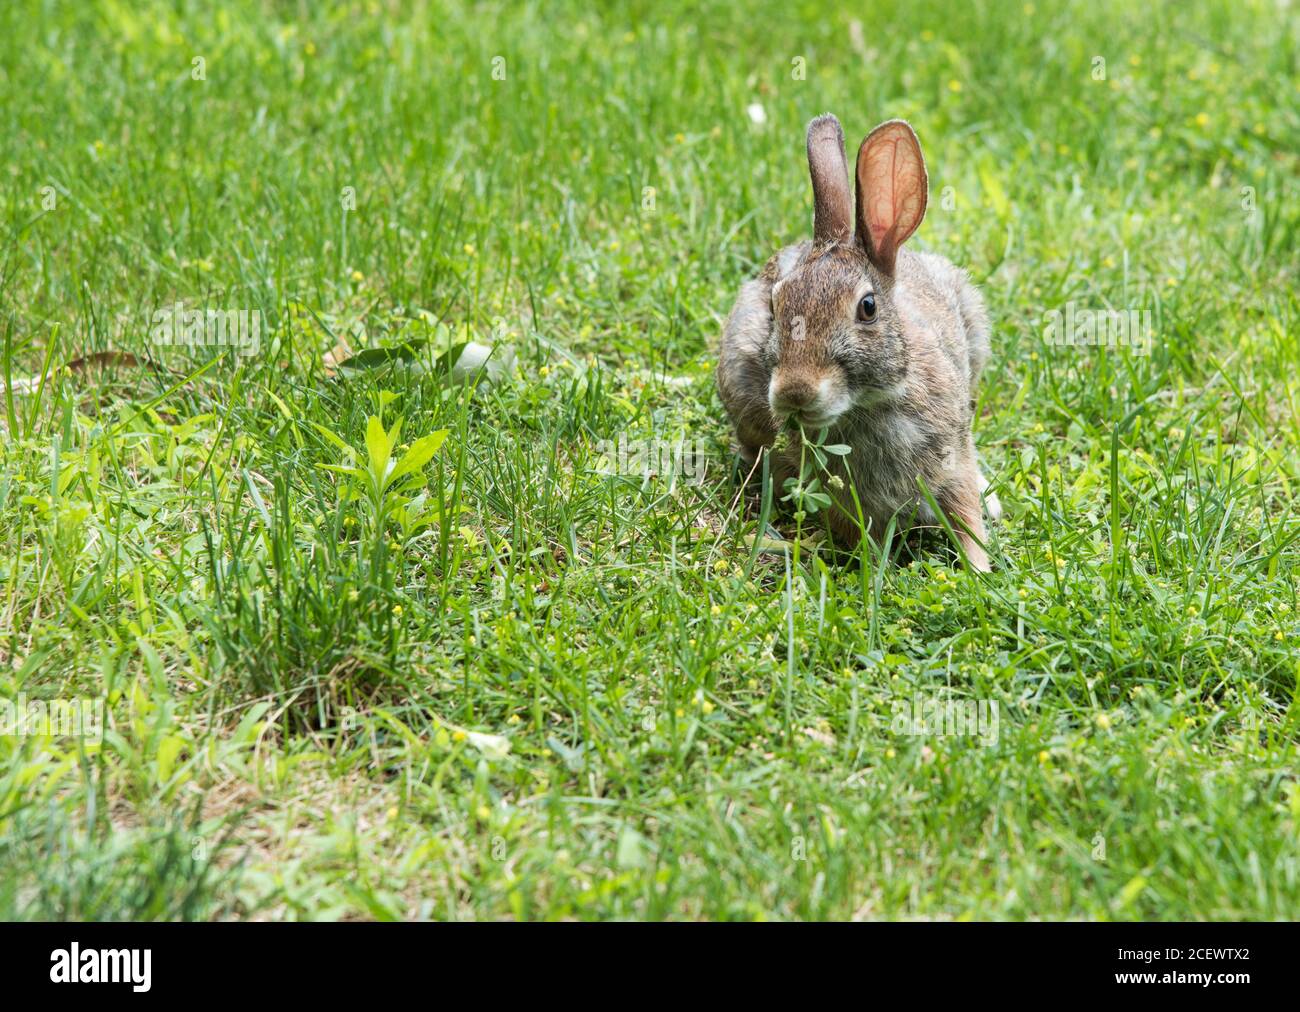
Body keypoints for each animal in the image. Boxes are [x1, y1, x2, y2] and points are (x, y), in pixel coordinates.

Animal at [717, 114, 999, 570]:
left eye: (867, 308)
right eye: (776, 306)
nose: (795, 393)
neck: (870, 404)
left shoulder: (953, 460)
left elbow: (966, 517)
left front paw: (978, 570)